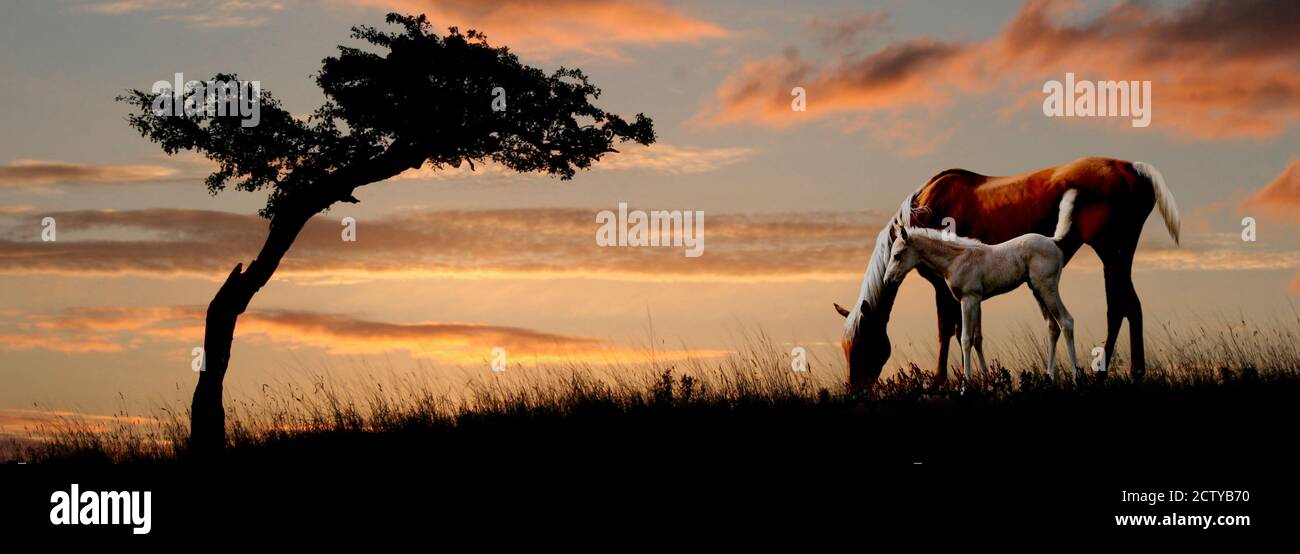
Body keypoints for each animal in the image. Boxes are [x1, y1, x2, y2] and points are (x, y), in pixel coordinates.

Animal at [880, 189, 1081, 385]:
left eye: (897, 255)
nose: (887, 280)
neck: (955, 260)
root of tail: (1053, 241)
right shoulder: (977, 301)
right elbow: (977, 339)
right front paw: (987, 381)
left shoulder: (968, 300)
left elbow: (965, 339)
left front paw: (966, 385)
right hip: (1037, 290)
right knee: (1052, 327)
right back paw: (1050, 378)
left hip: (1048, 288)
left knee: (1066, 321)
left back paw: (1076, 379)